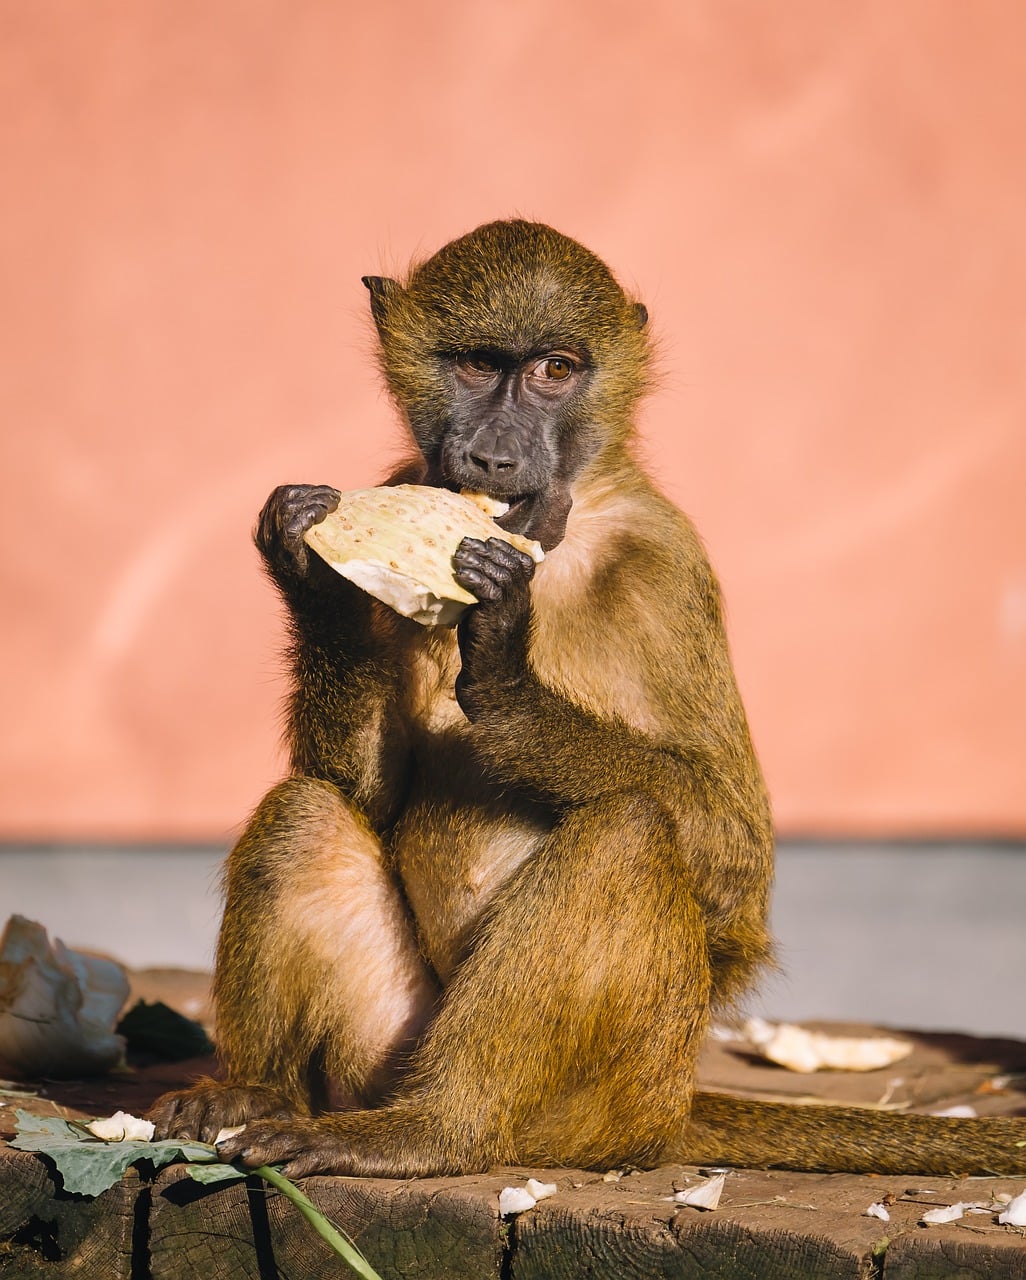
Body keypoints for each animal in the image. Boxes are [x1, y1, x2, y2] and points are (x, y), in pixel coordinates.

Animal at [150, 220, 1025, 1180]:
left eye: (556, 369)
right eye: (476, 363)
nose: (494, 457)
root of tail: (675, 1104)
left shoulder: (669, 566)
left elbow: (735, 865)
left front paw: (505, 676)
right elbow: (360, 795)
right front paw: (311, 570)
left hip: (603, 1099)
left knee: (626, 832)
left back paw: (430, 1133)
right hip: (390, 1046)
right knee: (305, 811)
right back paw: (257, 1094)